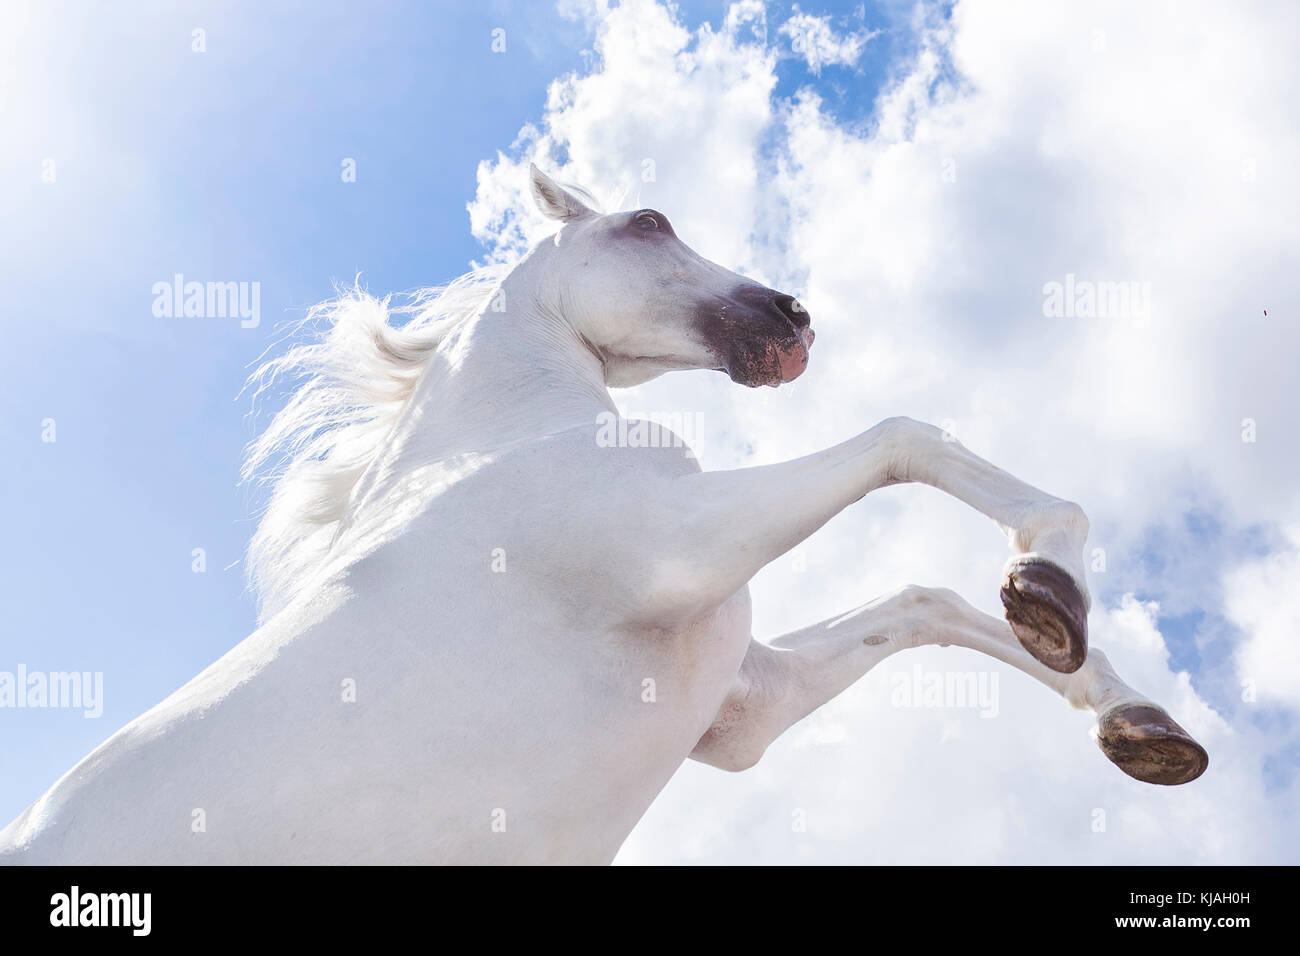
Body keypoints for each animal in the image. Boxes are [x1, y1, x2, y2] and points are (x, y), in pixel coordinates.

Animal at [0, 164, 1207, 865]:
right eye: (651, 219)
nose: (793, 317)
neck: (503, 447)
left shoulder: (741, 709)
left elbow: (929, 604)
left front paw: (1134, 720)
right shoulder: (681, 548)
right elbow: (909, 441)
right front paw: (1050, 580)